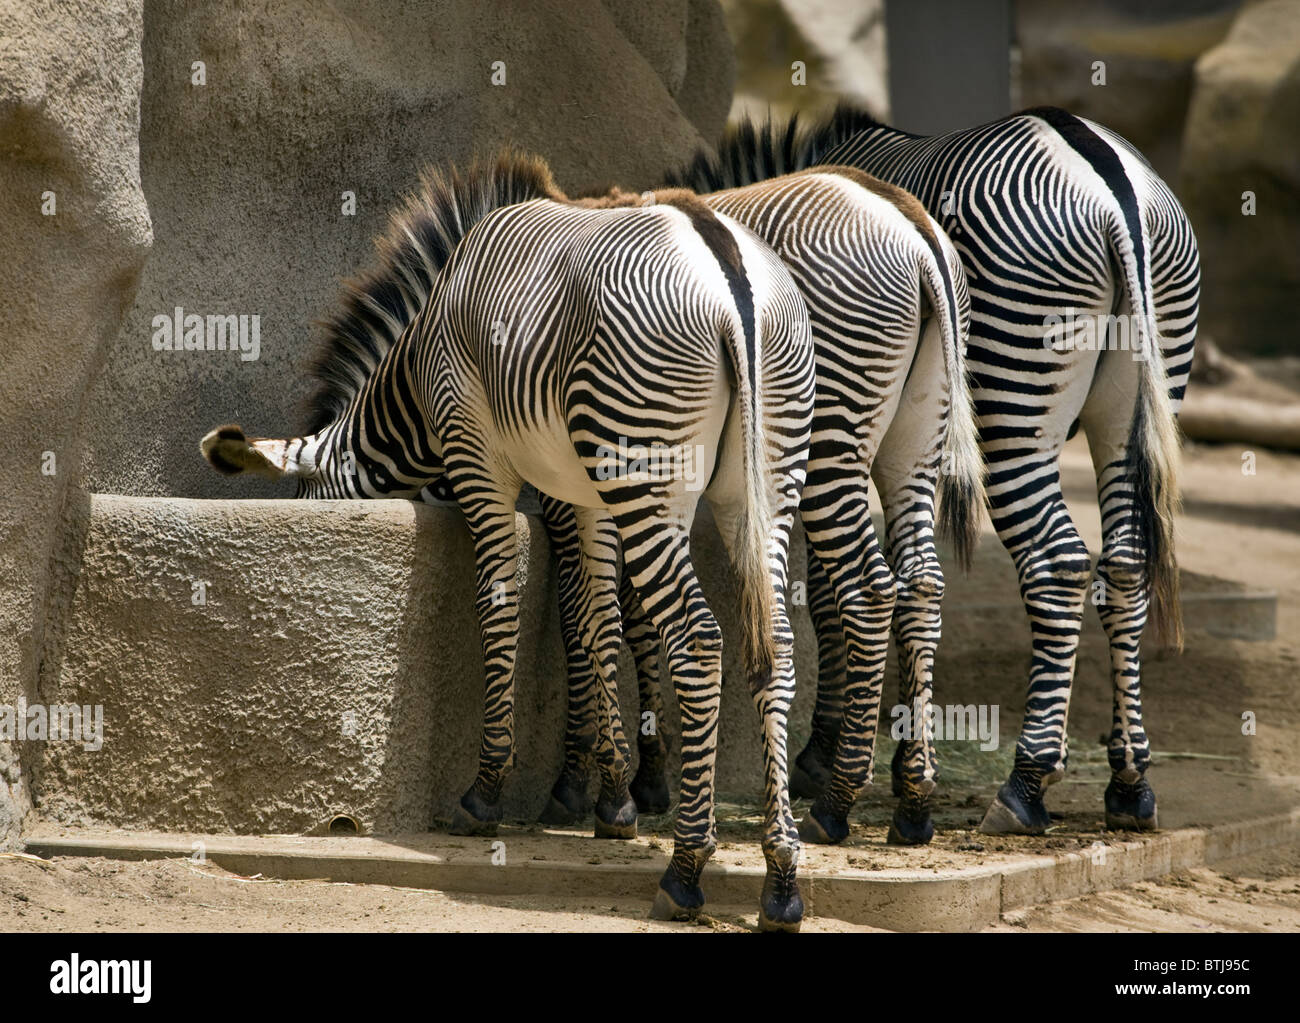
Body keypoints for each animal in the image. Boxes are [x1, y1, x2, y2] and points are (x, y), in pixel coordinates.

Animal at [199, 152, 818, 929]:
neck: (419, 356)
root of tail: (721, 252)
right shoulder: (586, 491)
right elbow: (596, 618)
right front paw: (613, 799)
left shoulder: (478, 455)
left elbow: (503, 604)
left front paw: (488, 790)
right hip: (762, 476)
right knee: (776, 647)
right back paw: (782, 876)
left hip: (646, 463)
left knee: (699, 637)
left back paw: (685, 868)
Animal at [532, 167, 983, 849]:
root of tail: (909, 222)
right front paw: (640, 776)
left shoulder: (595, 479)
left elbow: (589, 613)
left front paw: (596, 782)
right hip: (916, 437)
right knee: (922, 582)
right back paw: (913, 798)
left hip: (831, 431)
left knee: (870, 590)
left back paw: (837, 803)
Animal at [665, 106, 1199, 836]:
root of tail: (1114, 188)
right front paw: (895, 759)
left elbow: (831, 594)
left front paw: (826, 754)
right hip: (1142, 389)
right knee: (1124, 560)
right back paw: (1130, 780)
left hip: (1012, 380)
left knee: (1057, 560)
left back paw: (1025, 782)